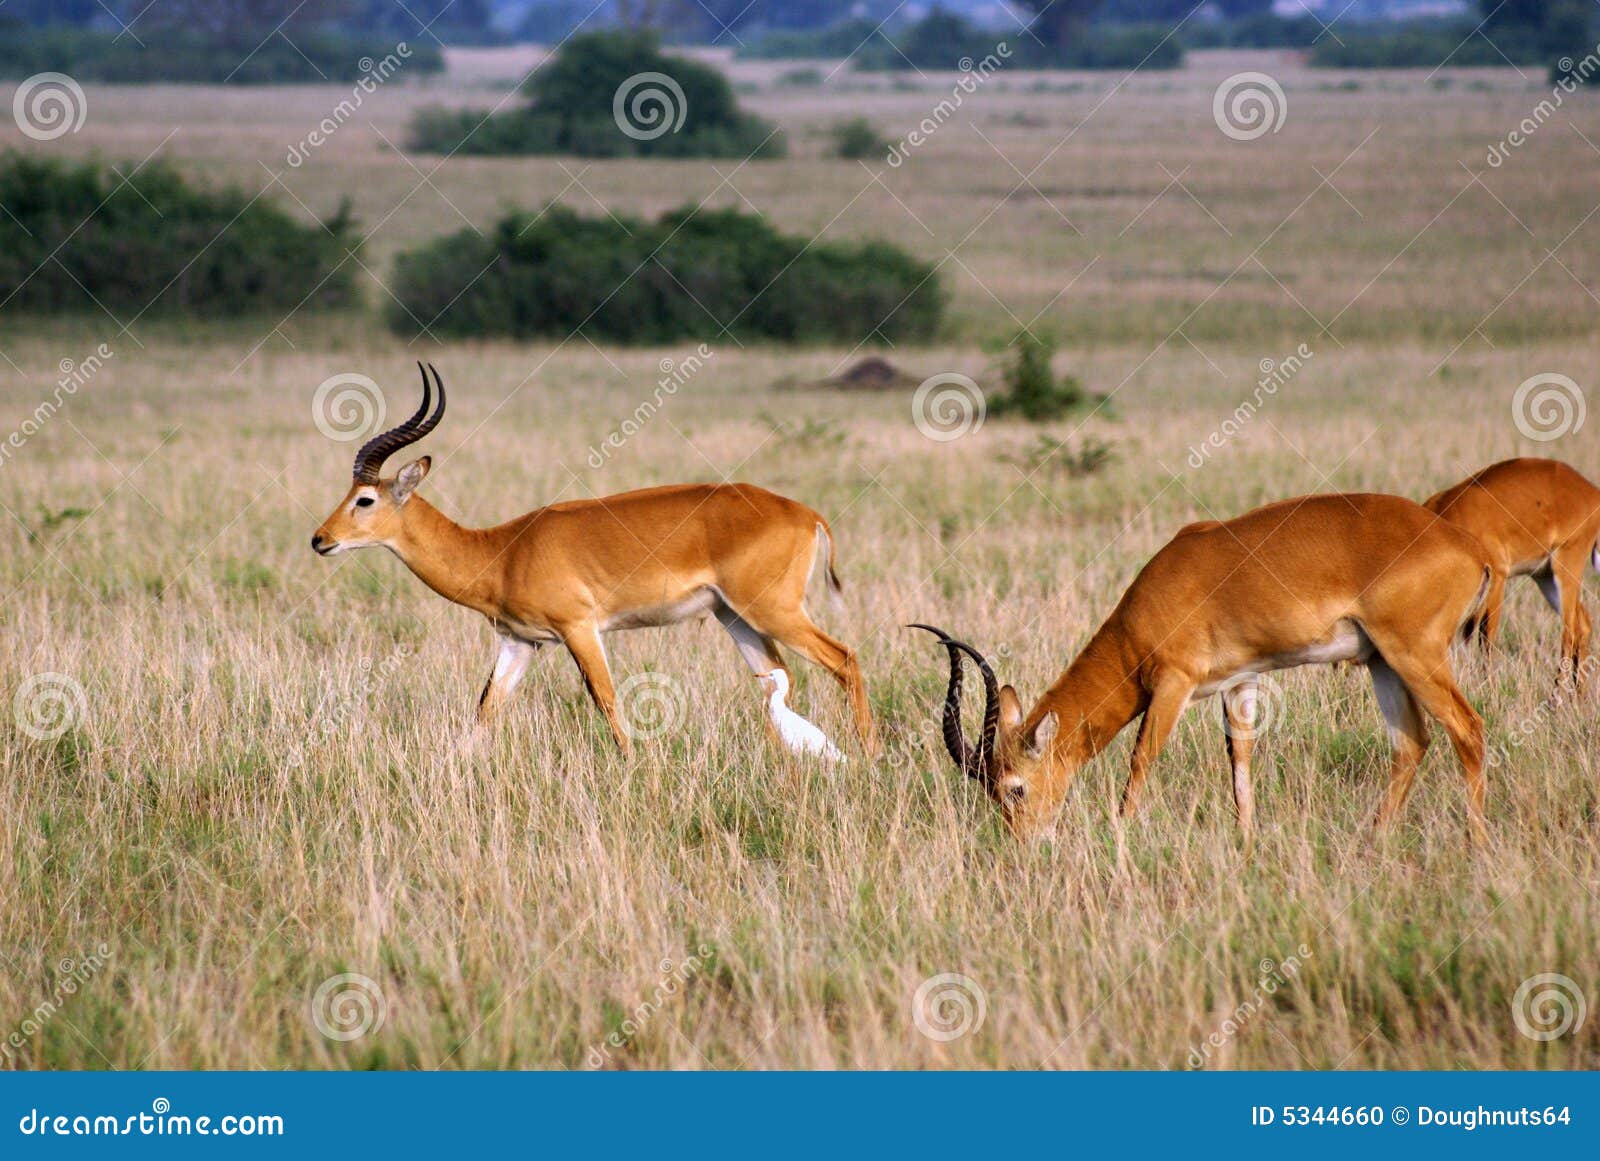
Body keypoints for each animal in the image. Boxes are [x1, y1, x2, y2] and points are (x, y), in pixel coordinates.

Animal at [311, 365, 875, 758]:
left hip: (773, 610)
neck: (502, 551)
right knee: (776, 677)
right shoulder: (520, 642)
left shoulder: (579, 628)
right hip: (734, 615)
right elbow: (486, 708)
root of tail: (805, 513)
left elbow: (605, 698)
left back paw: (869, 756)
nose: (320, 540)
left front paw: (632, 765)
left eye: (365, 499)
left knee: (844, 658)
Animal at [914, 493, 1494, 847]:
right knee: (1412, 741)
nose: (1026, 842)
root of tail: (1466, 545)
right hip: (1381, 661)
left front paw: (1119, 838)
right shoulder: (1241, 681)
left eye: (1014, 787)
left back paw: (1476, 845)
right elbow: (1240, 767)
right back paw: (1370, 841)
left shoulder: (1173, 684)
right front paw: (1247, 845)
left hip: (1414, 655)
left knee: (1468, 729)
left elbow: (1139, 763)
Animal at [1423, 457, 1600, 684]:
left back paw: (1557, 693)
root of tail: (1590, 490)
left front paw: (1489, 686)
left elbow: (1485, 636)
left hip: (1567, 564)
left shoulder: (1498, 576)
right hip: (1544, 576)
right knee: (1583, 624)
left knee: (1569, 631)